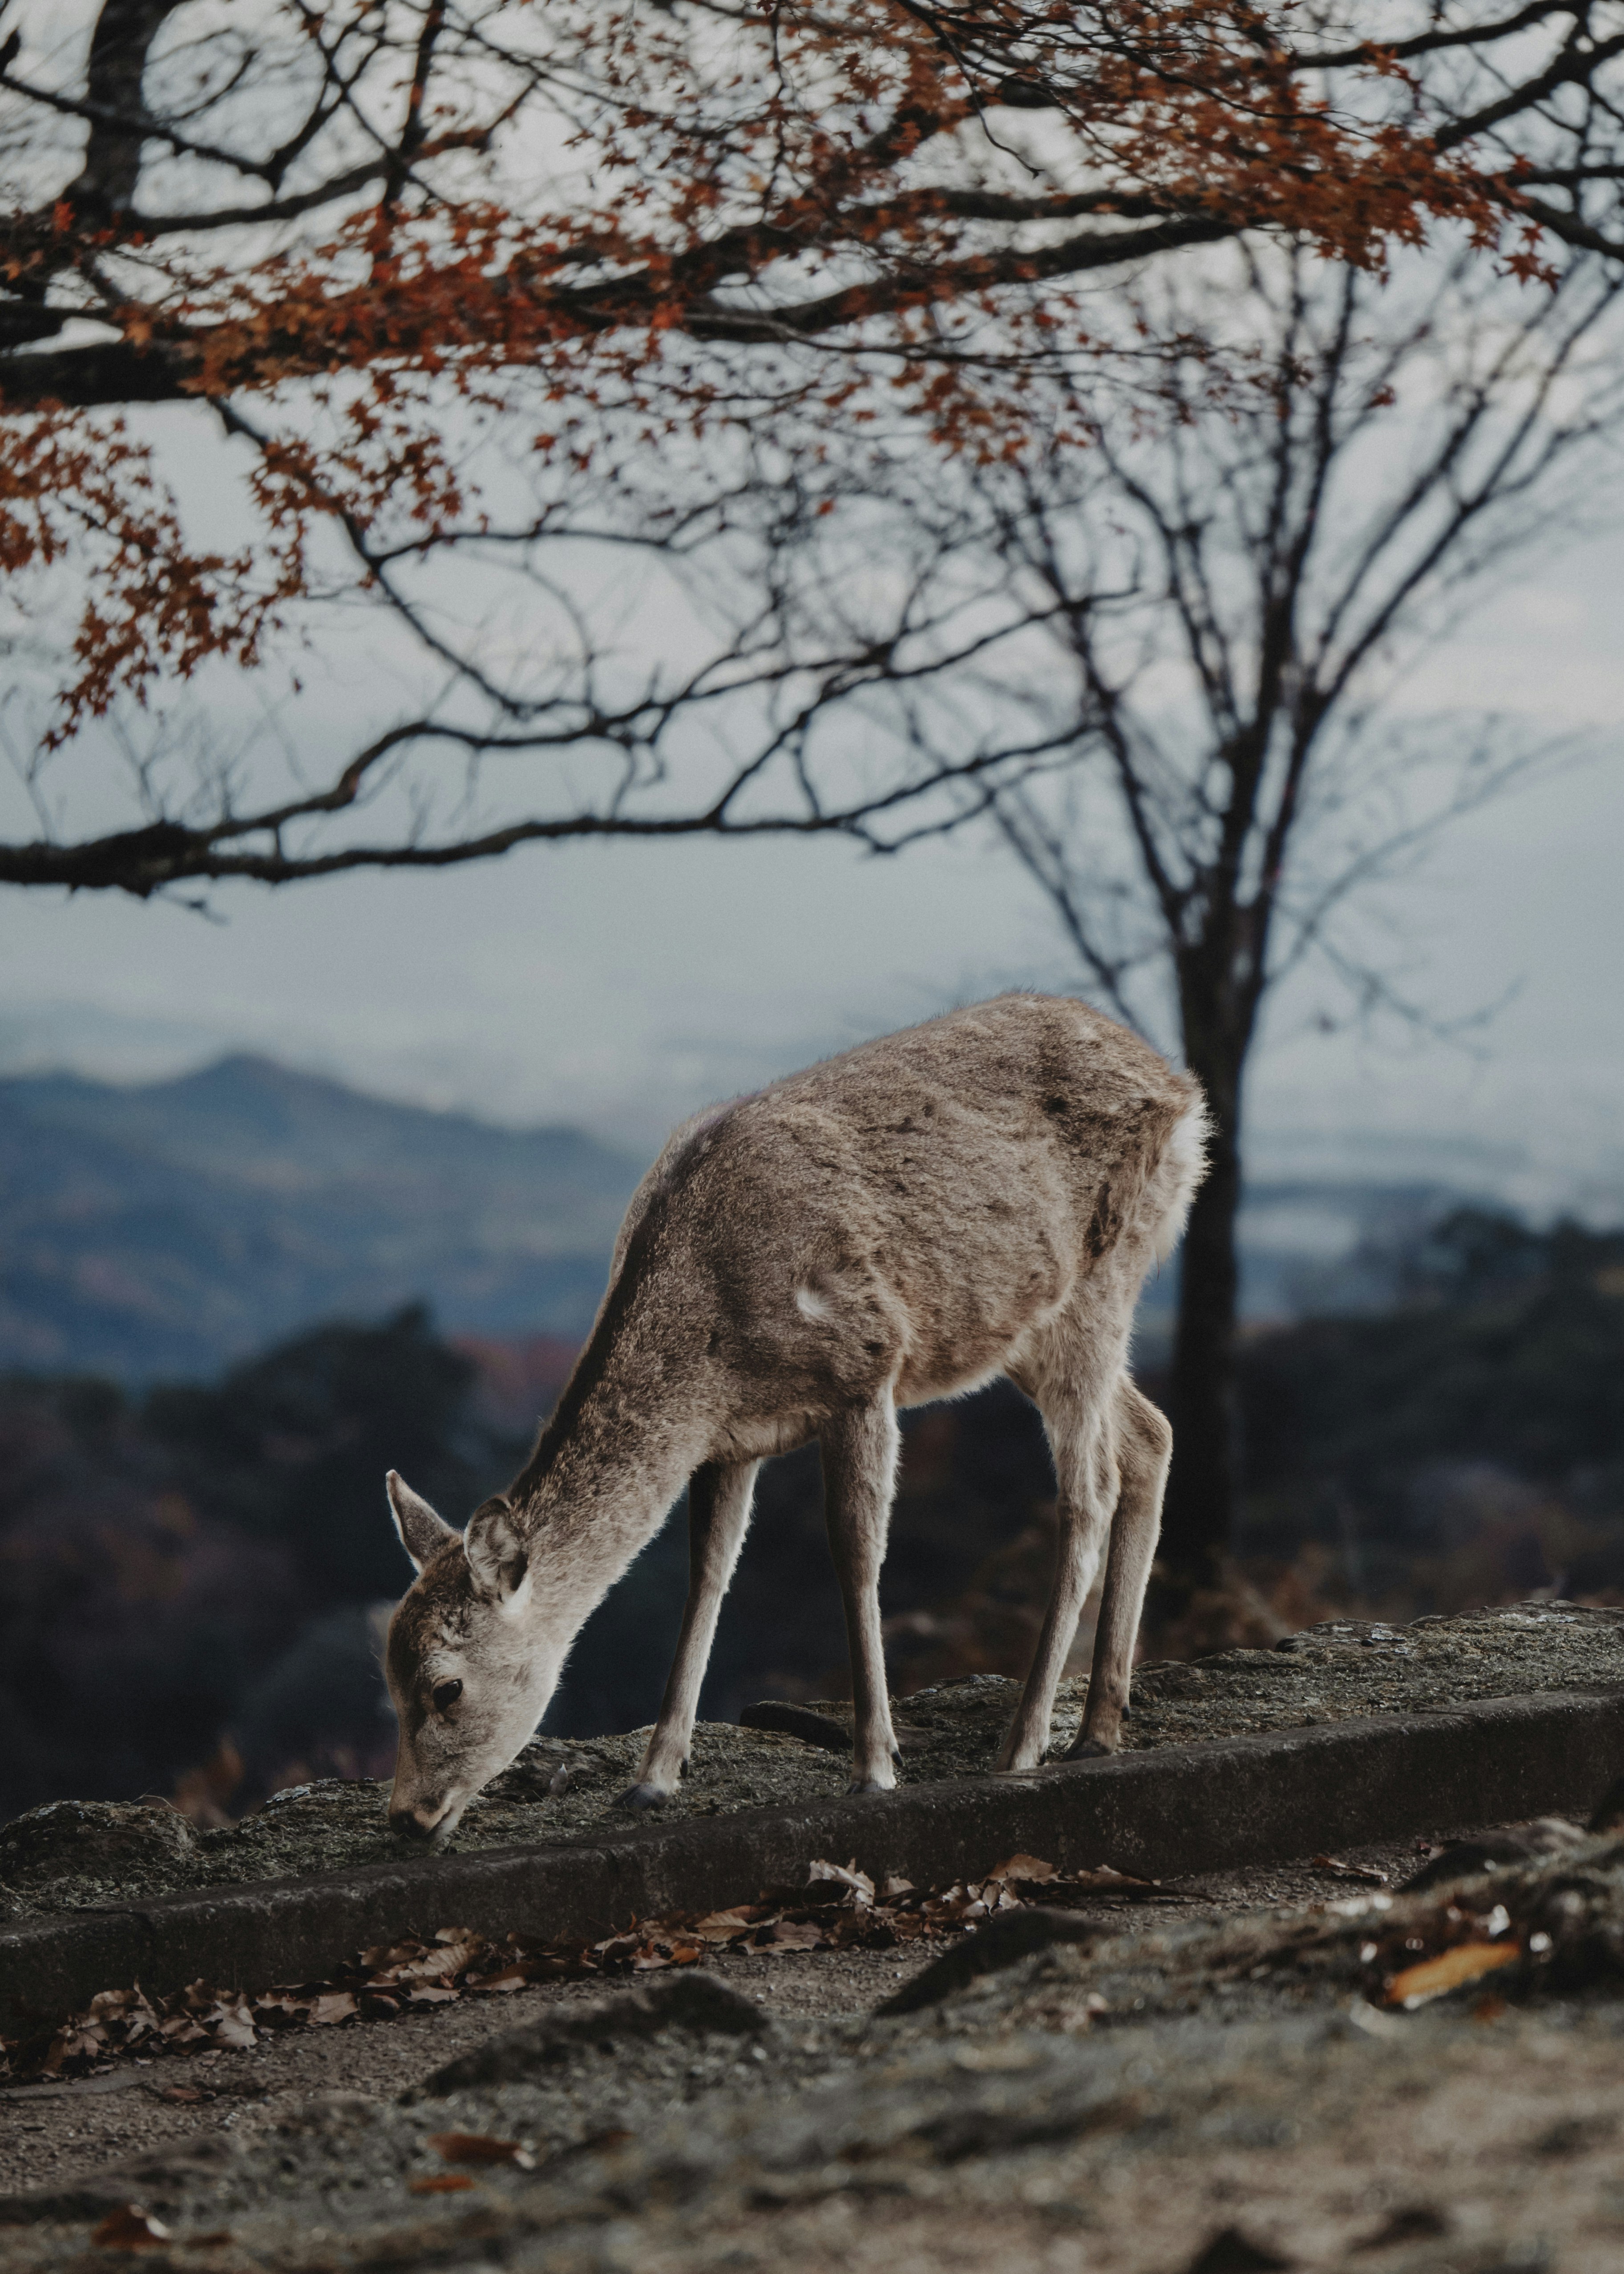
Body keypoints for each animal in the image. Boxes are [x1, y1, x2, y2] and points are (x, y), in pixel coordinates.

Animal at [382, 993, 1206, 1839]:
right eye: (388, 1677)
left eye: (445, 1687)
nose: (406, 1817)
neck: (711, 1347)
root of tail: (1183, 1093)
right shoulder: (728, 1443)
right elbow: (708, 1575)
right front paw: (653, 1779)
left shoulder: (866, 1367)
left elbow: (855, 1553)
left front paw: (875, 1765)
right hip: (1028, 1330)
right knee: (1151, 1433)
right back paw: (1098, 1727)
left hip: (1100, 1282)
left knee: (1091, 1489)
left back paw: (1024, 1742)